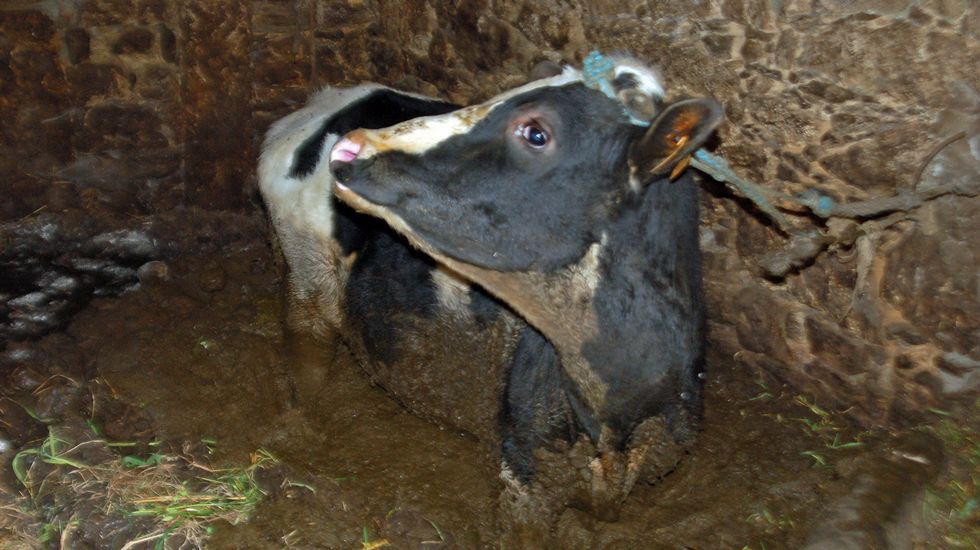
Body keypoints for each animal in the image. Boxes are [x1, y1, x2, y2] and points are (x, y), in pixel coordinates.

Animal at [258, 54, 722, 539]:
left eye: (536, 133)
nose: (353, 147)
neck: (614, 413)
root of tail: (320, 106)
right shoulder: (525, 469)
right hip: (306, 262)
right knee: (308, 342)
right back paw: (301, 429)